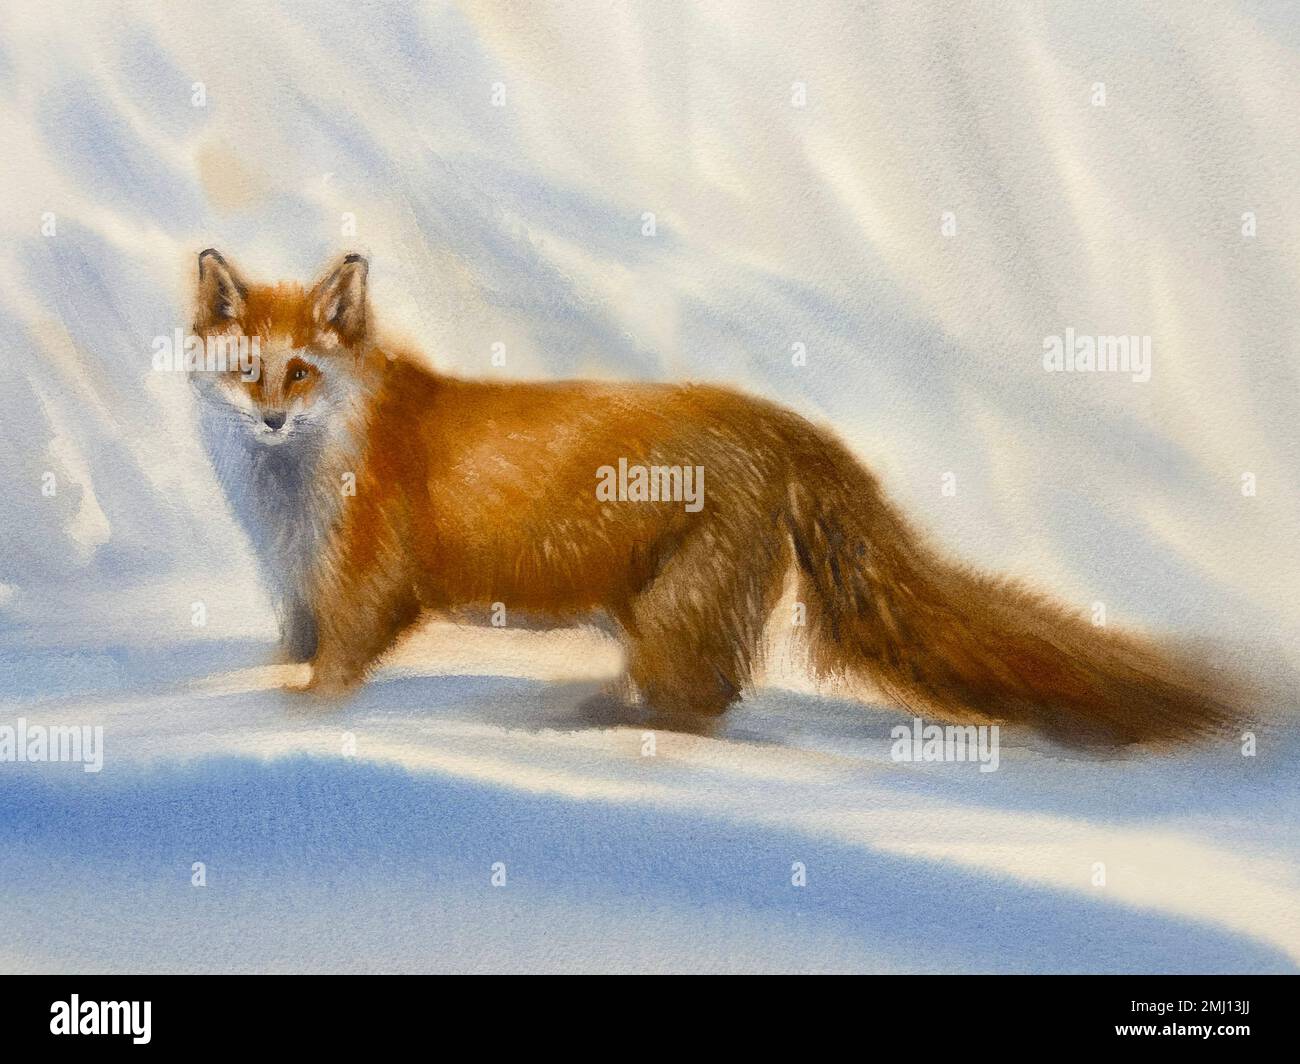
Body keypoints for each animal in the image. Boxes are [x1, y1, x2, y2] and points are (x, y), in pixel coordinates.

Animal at [189, 248, 1244, 746]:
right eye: (246, 371)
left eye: (302, 372)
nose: (271, 421)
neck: (286, 502)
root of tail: (779, 418)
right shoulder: (299, 589)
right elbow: (289, 654)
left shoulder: (370, 582)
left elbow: (336, 672)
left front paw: (294, 722)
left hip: (678, 609)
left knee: (704, 704)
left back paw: (593, 720)